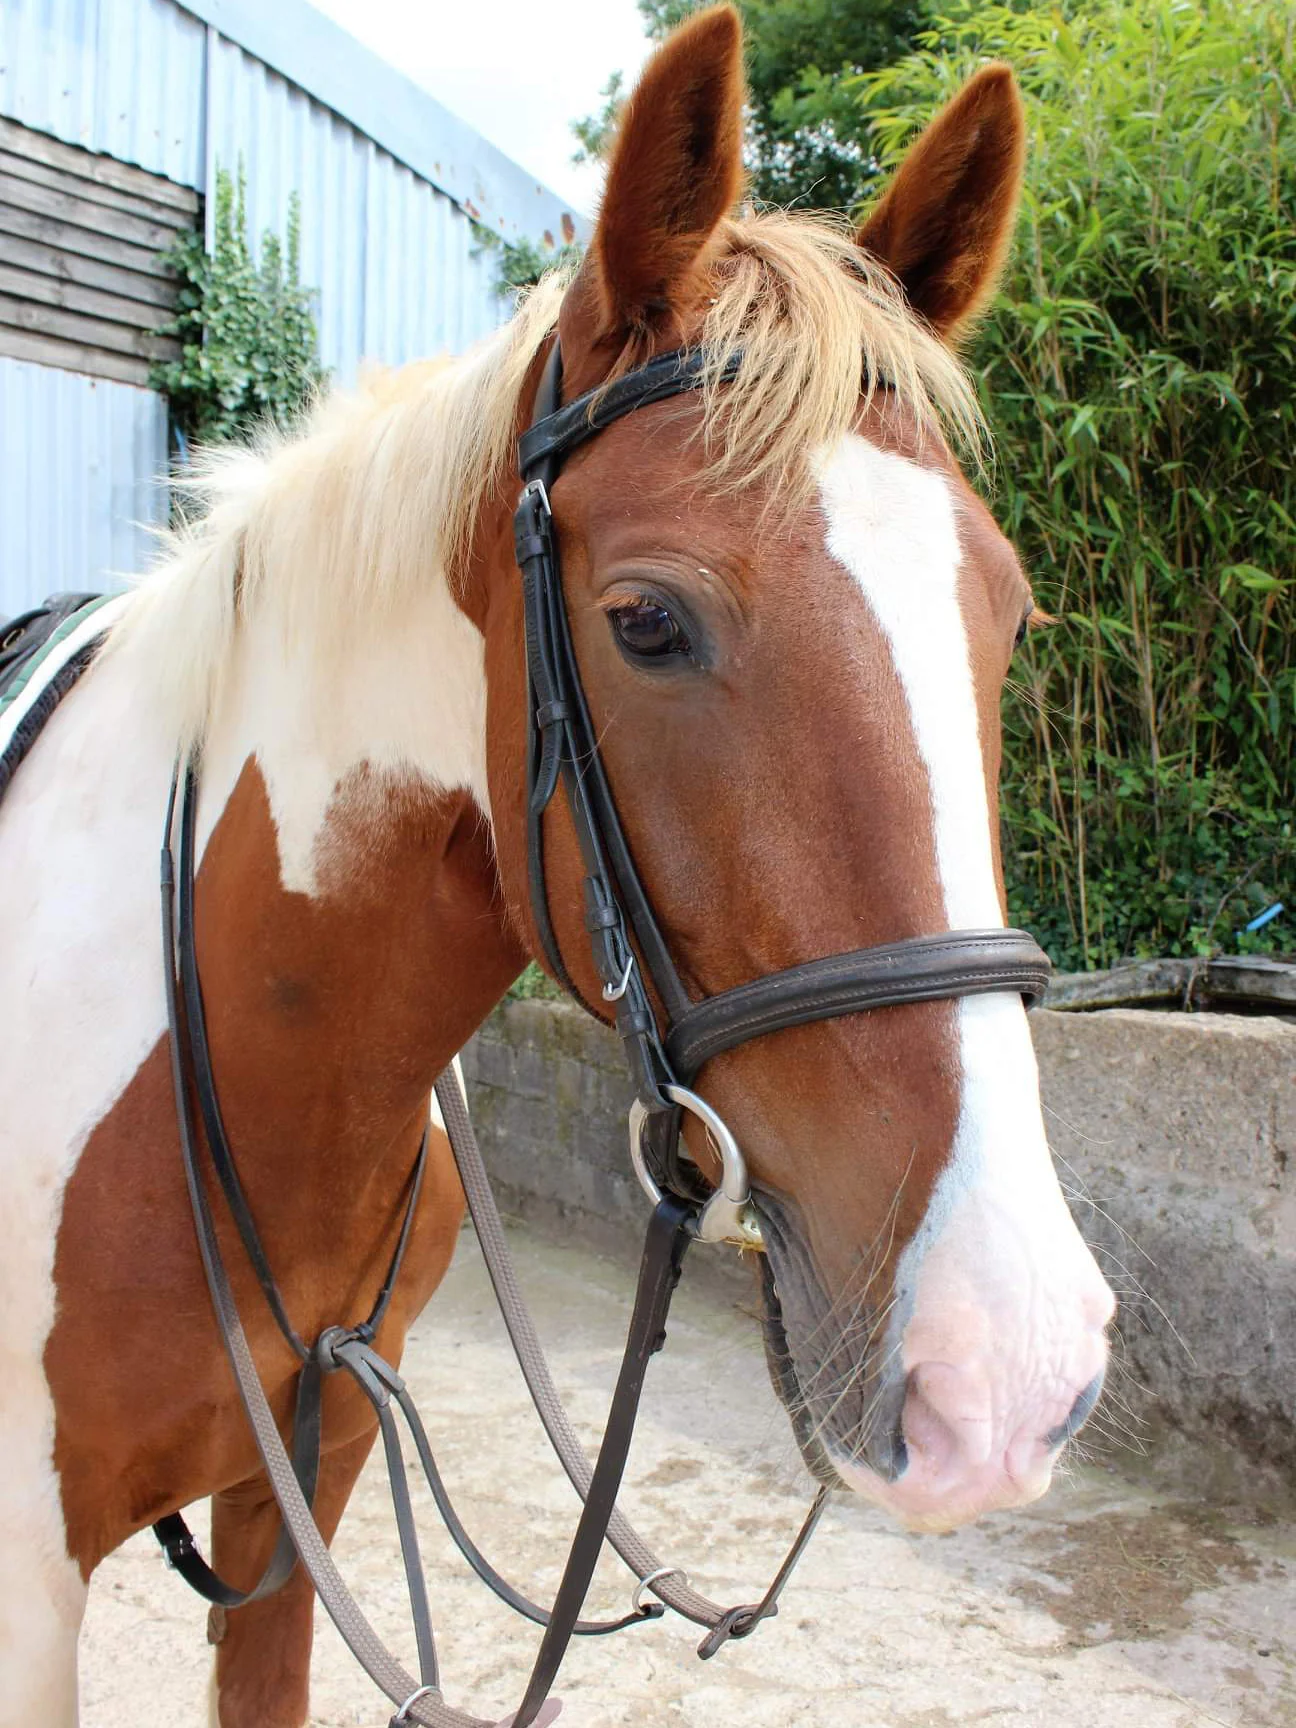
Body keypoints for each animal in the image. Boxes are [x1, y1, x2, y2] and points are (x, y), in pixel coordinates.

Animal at [0, 7, 1115, 1723]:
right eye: (646, 621)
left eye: (1006, 613)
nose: (1011, 1365)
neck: (237, 1054)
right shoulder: (28, 1582)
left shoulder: (303, 1481)